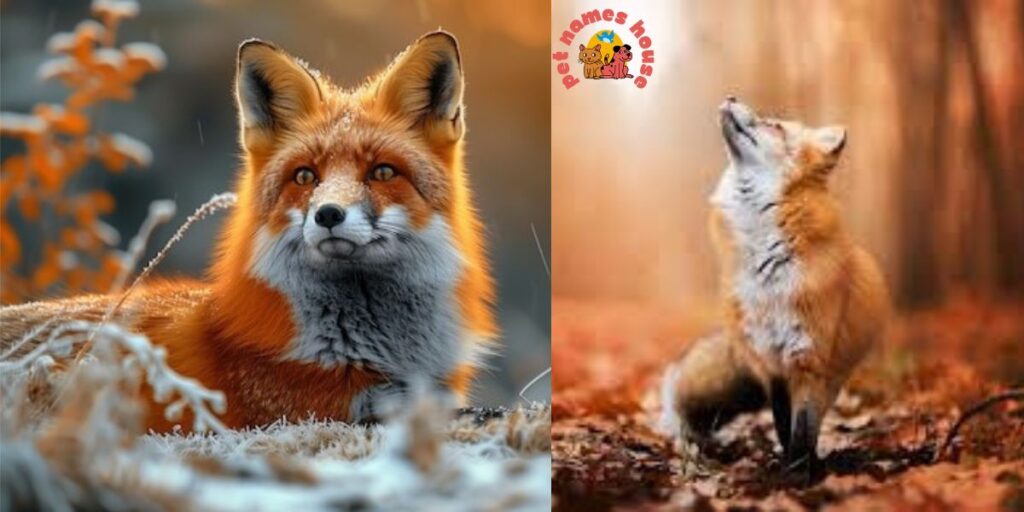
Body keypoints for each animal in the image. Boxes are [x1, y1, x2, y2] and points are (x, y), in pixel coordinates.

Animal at [662, 97, 889, 475]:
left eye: (774, 125)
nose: (731, 97)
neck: (766, 269)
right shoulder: (770, 363)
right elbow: (784, 426)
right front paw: (787, 468)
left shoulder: (808, 358)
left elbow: (802, 430)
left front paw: (799, 475)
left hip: (833, 374)